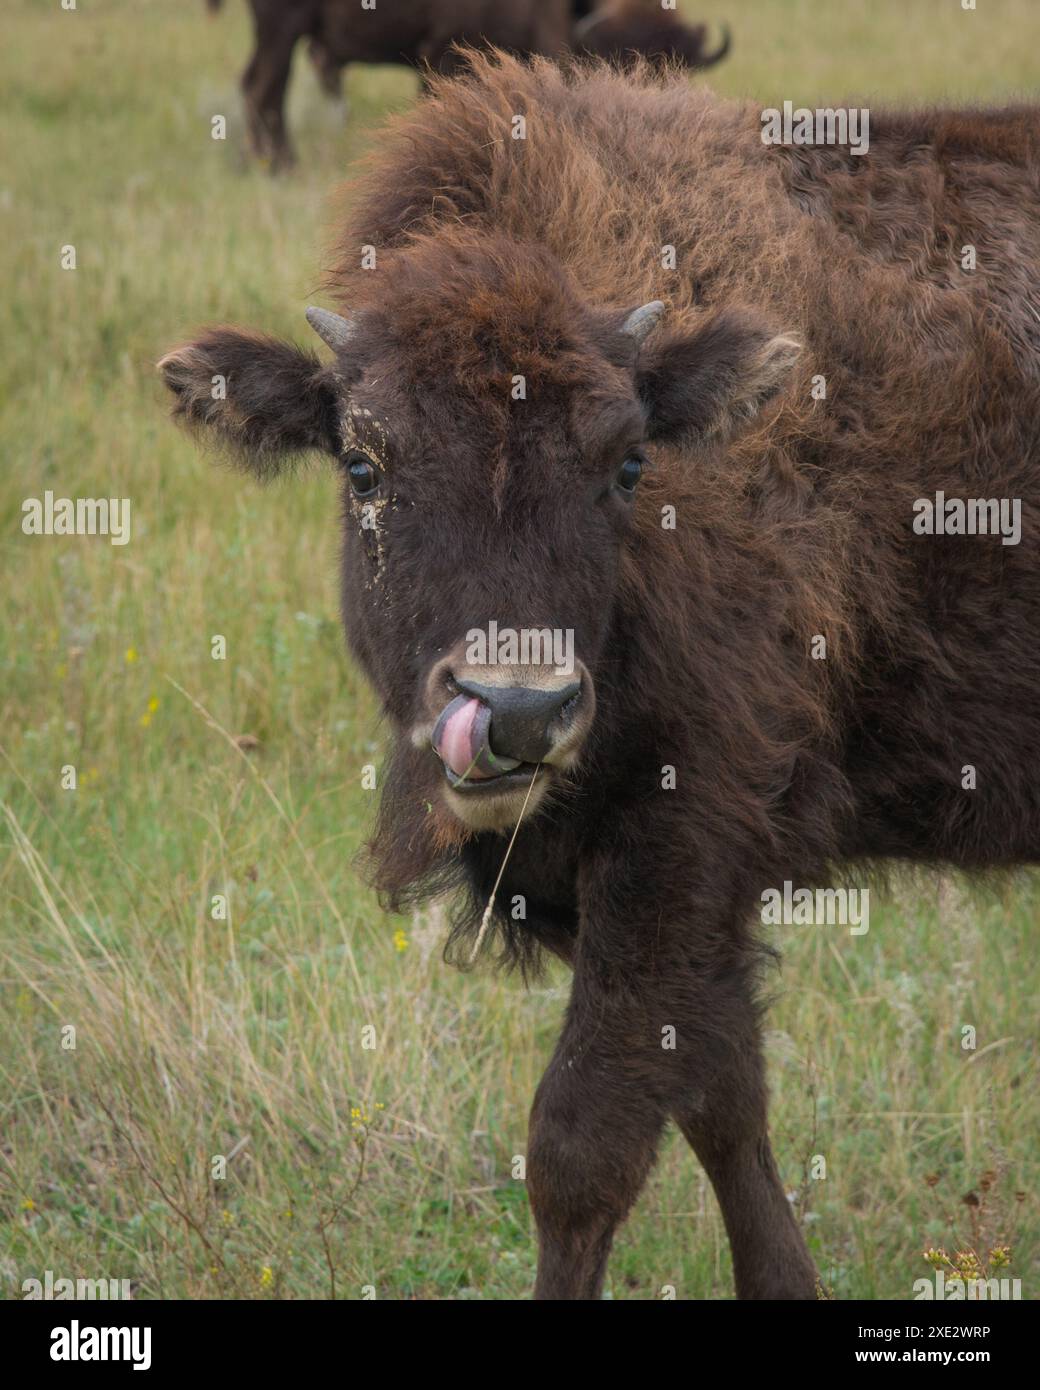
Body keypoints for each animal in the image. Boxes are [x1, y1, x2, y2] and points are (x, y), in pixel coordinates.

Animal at [160, 54, 1040, 1298]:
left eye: (626, 462)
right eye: (363, 465)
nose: (517, 709)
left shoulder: (677, 844)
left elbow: (582, 1146)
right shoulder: (645, 888)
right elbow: (721, 1097)